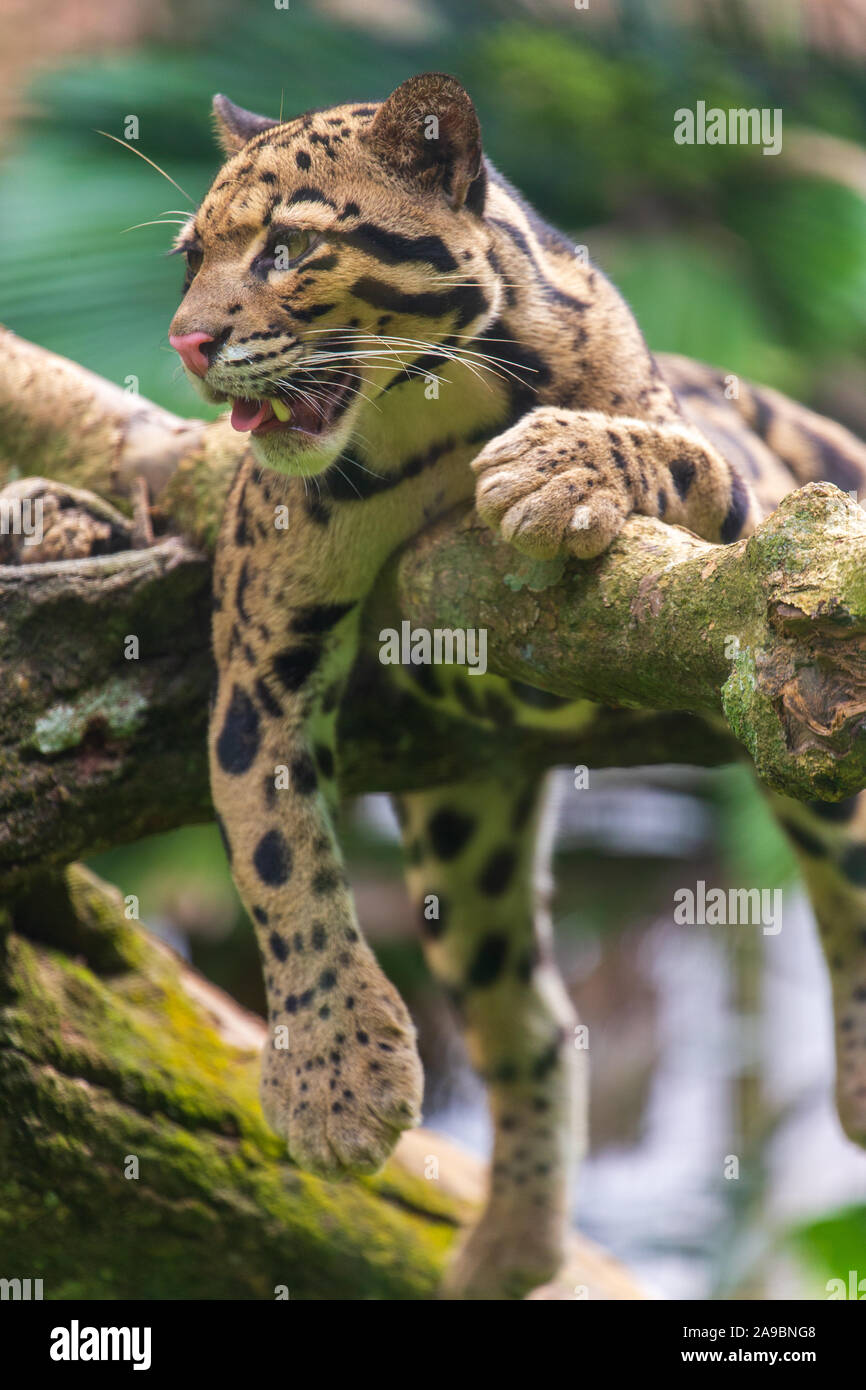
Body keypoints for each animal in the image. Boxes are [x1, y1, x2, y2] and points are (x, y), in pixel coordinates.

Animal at [166, 72, 866, 1299]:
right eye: (191, 256)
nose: (188, 342)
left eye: (286, 249)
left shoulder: (746, 527)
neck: (424, 403)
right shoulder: (259, 651)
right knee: (524, 1016)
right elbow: (272, 844)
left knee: (848, 876)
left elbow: (665, 448)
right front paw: (334, 1077)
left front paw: (559, 462)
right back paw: (513, 1246)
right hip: (465, 827)